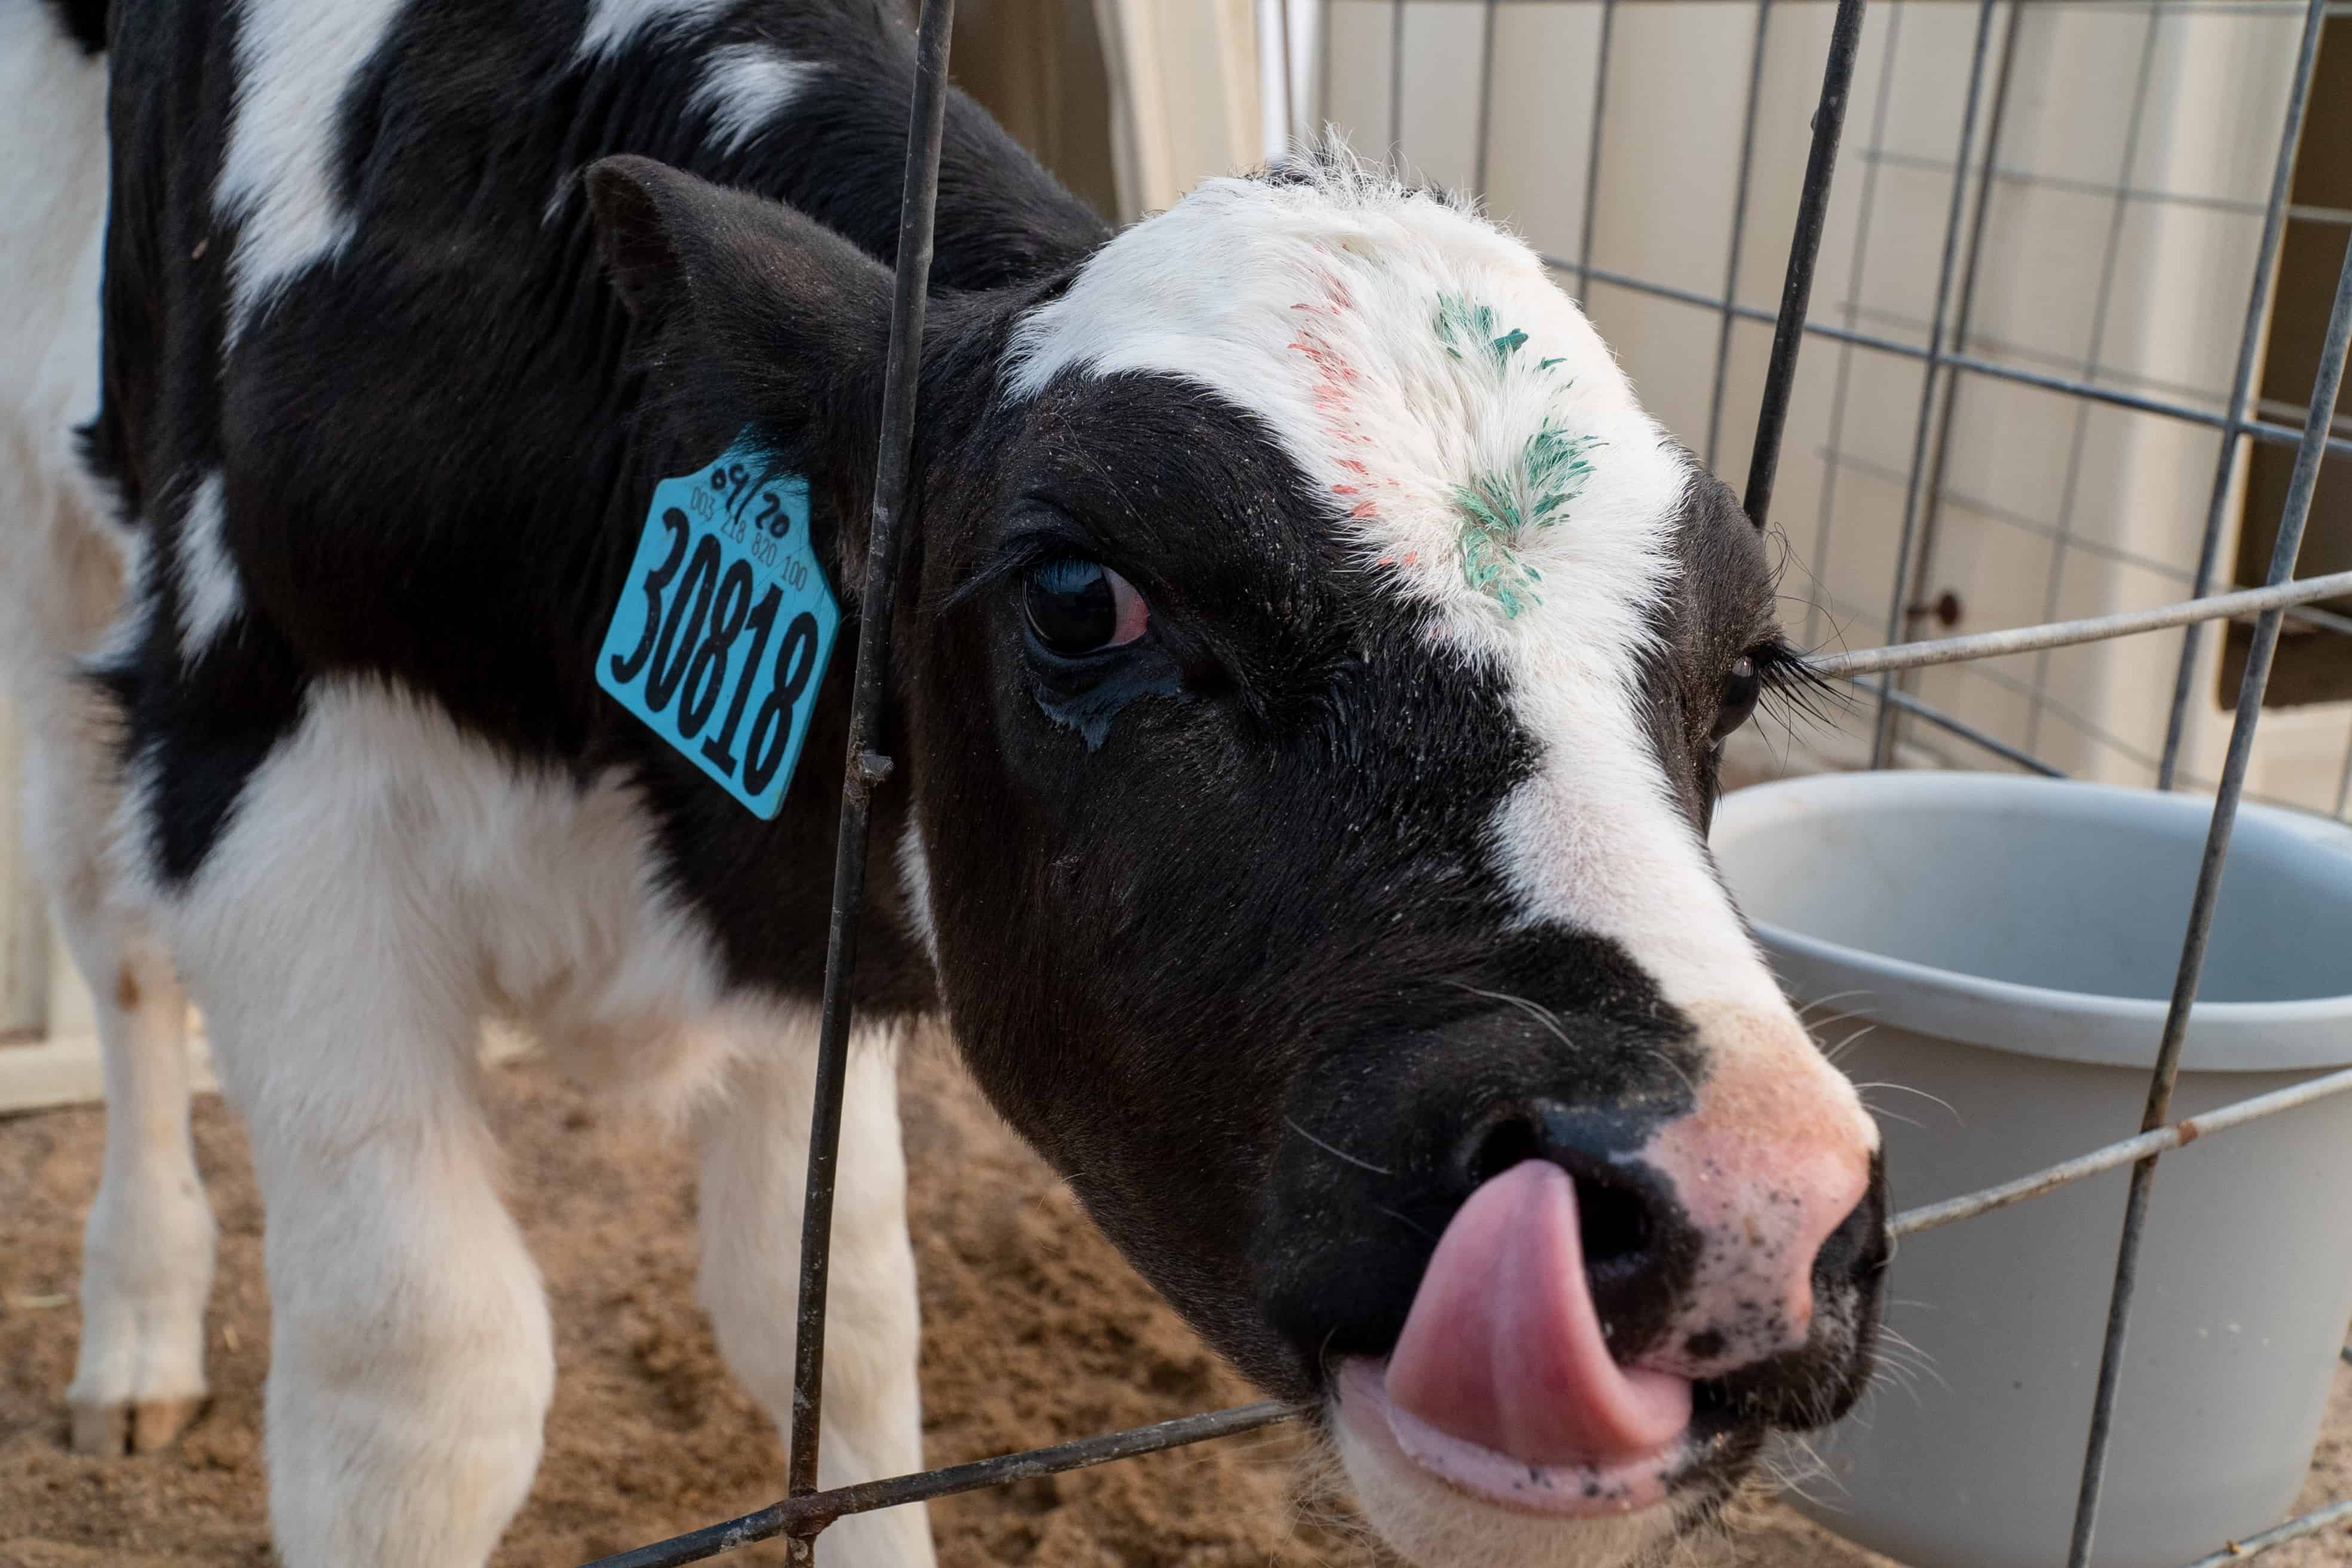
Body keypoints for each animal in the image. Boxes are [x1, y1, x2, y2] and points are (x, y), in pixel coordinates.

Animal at [0, 0, 1888, 1564]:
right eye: (1077, 596)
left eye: (1745, 669)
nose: (1751, 1207)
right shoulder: (266, 803)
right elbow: (430, 1382)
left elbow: (838, 1326)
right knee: (112, 943)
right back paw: (135, 1334)